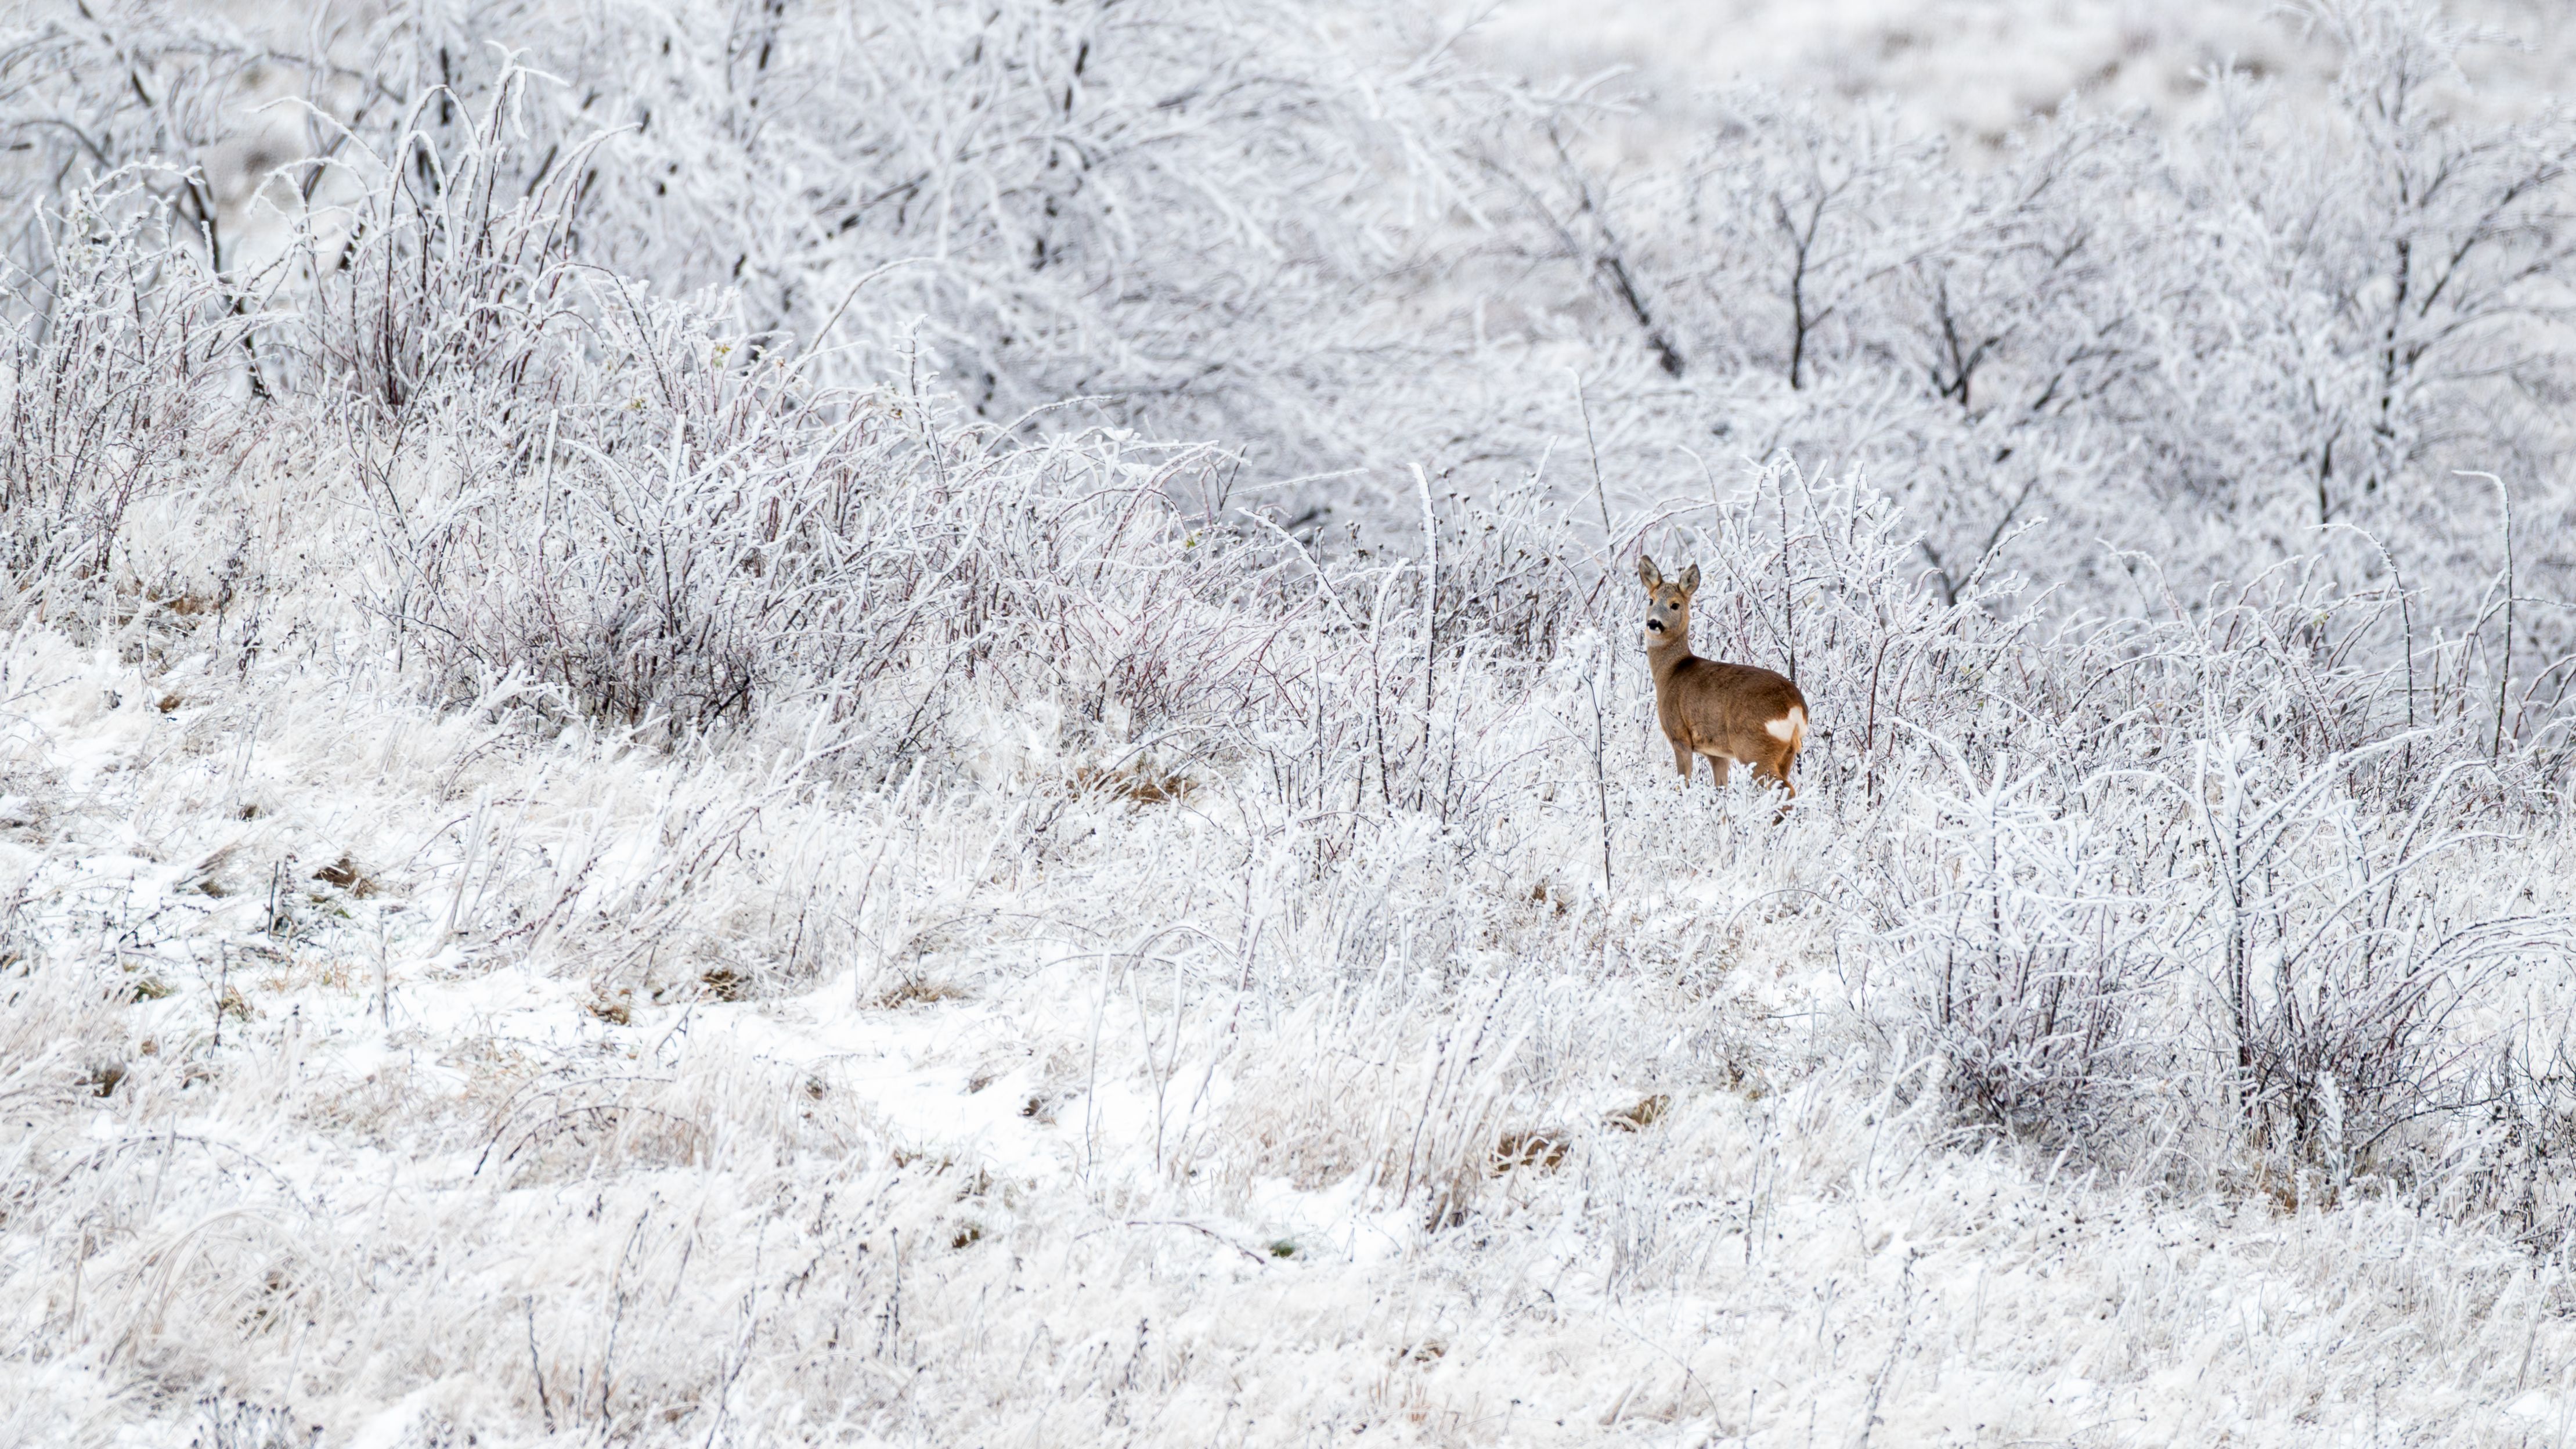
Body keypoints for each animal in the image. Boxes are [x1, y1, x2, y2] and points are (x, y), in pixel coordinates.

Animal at [1636, 555, 1806, 816]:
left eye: (1675, 605)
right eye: (1651, 600)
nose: (1654, 623)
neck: (1671, 672)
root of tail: (1795, 708)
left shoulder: (1680, 737)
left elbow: (1682, 786)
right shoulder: (1717, 753)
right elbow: (1720, 794)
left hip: (1753, 748)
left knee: (1785, 792)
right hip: (1785, 753)